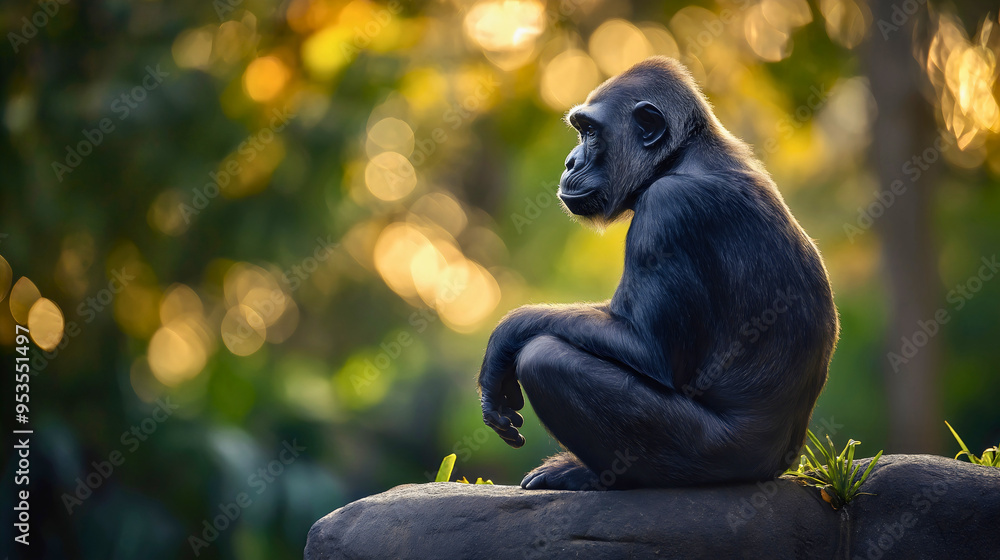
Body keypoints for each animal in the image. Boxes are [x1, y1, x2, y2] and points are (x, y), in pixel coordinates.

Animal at [477, 56, 838, 490]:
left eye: (590, 132)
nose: (570, 161)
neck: (677, 160)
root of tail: (779, 465)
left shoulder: (667, 210)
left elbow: (647, 348)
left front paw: (504, 337)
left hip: (710, 458)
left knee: (546, 358)